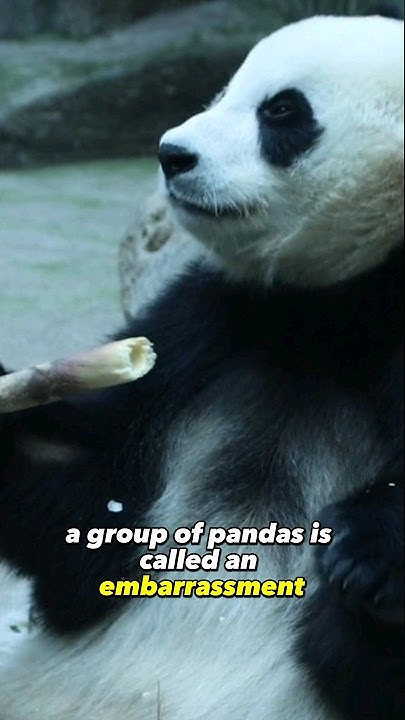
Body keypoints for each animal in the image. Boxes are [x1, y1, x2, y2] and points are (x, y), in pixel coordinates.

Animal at [0, 13, 403, 720]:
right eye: (224, 90)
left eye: (282, 111)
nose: (173, 154)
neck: (335, 302)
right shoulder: (206, 327)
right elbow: (85, 512)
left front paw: (365, 555)